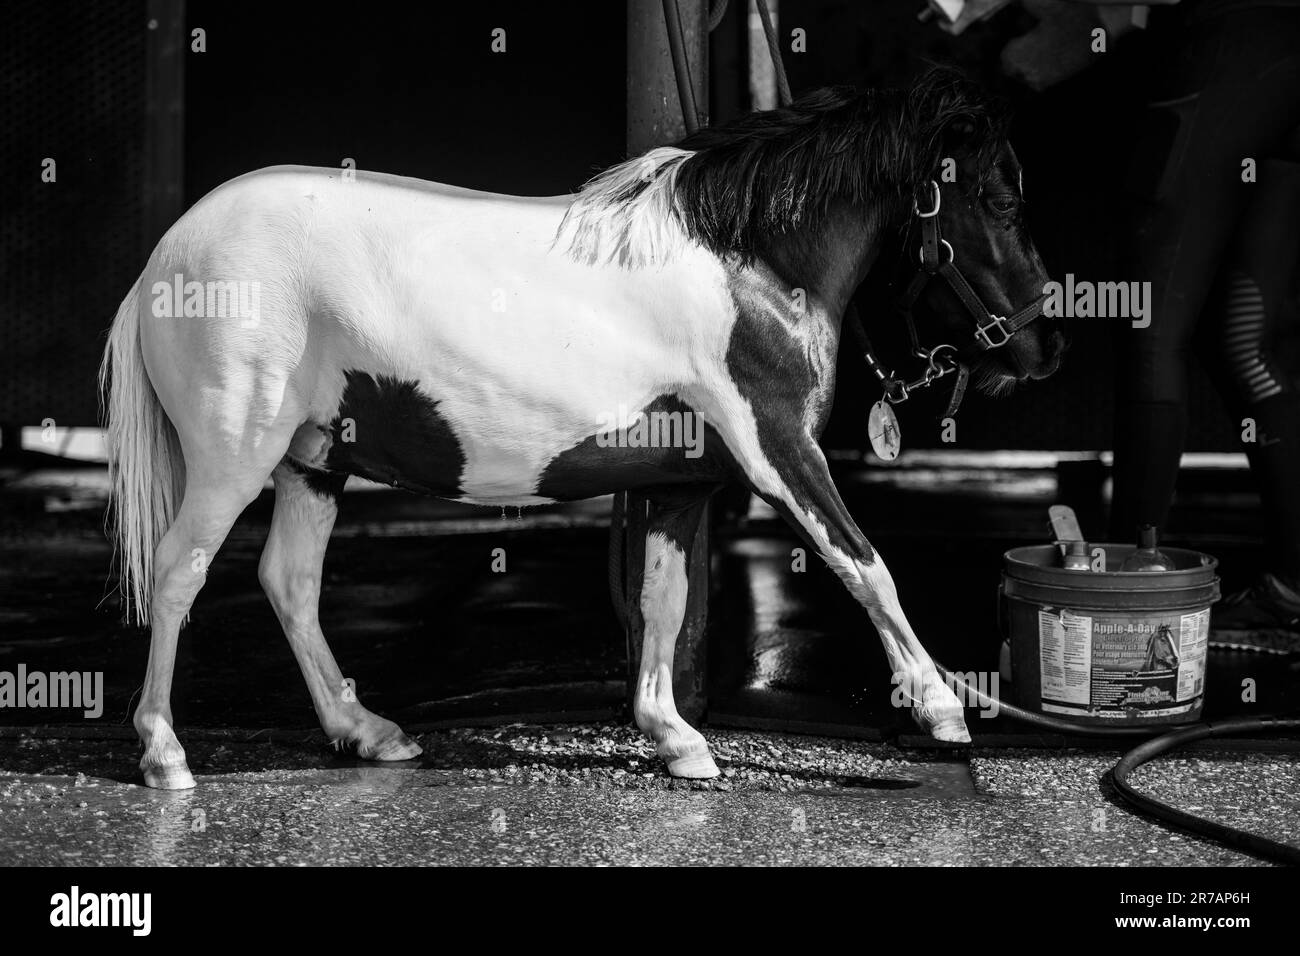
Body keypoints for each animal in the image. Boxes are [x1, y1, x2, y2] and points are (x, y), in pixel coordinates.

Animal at [99, 67, 1064, 789]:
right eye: (999, 200)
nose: (1041, 349)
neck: (750, 259)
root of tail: (163, 256)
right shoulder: (779, 453)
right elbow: (865, 566)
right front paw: (940, 708)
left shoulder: (681, 485)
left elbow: (663, 604)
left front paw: (676, 739)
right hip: (233, 458)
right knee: (181, 577)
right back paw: (165, 755)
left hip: (314, 459)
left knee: (289, 583)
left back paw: (366, 730)